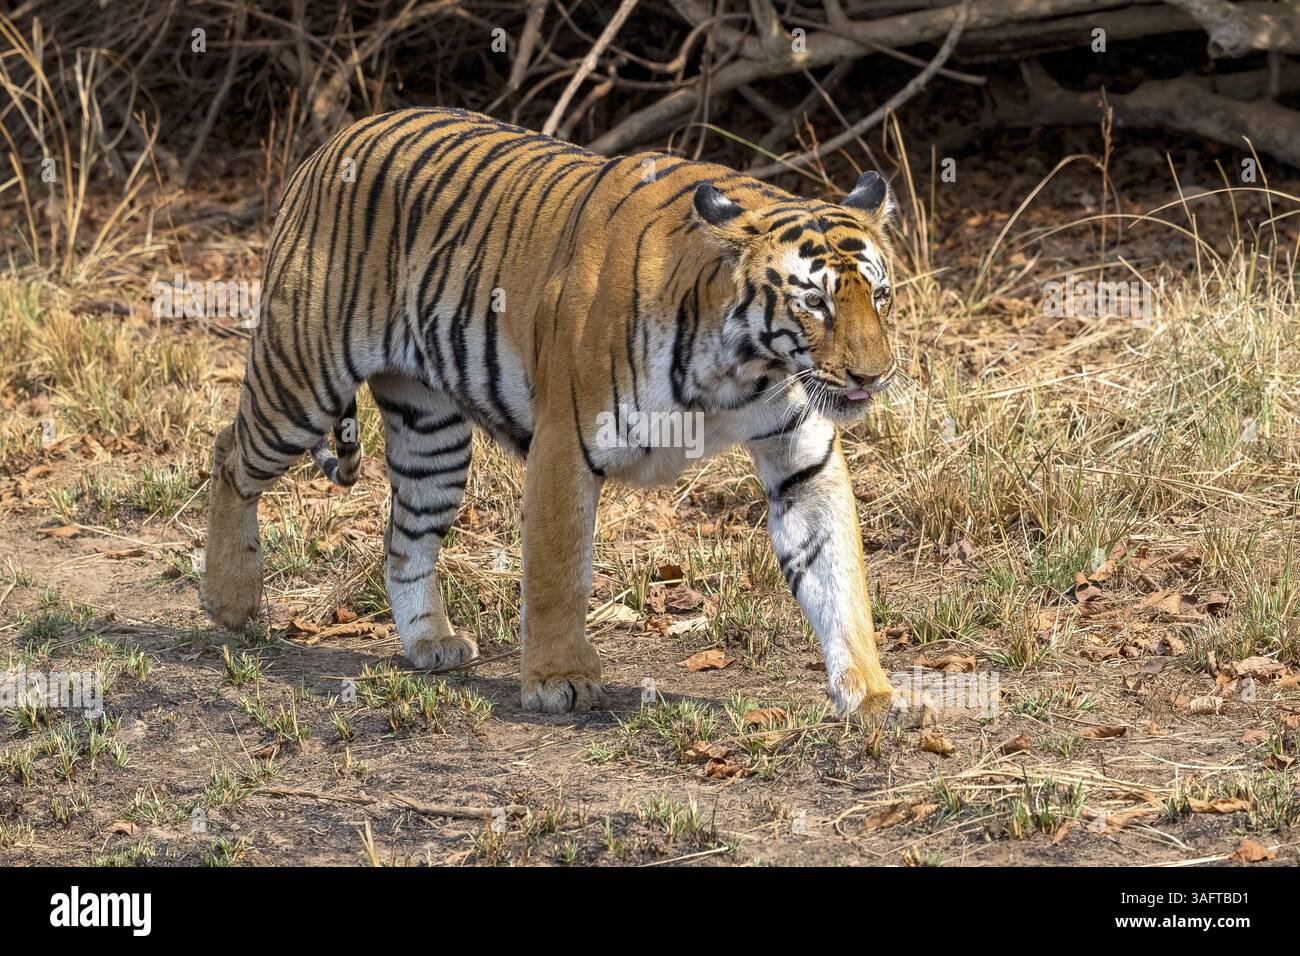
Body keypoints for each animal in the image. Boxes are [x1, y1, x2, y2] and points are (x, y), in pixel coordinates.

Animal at [201, 107, 901, 719]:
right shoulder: (566, 442)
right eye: (815, 303)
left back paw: (430, 643)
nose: (873, 375)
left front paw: (871, 694)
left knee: (406, 538)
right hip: (301, 378)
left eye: (881, 295)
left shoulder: (801, 459)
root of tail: (335, 140)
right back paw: (230, 603)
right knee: (229, 453)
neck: (743, 367)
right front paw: (559, 679)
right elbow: (559, 571)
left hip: (431, 434)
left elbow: (838, 574)